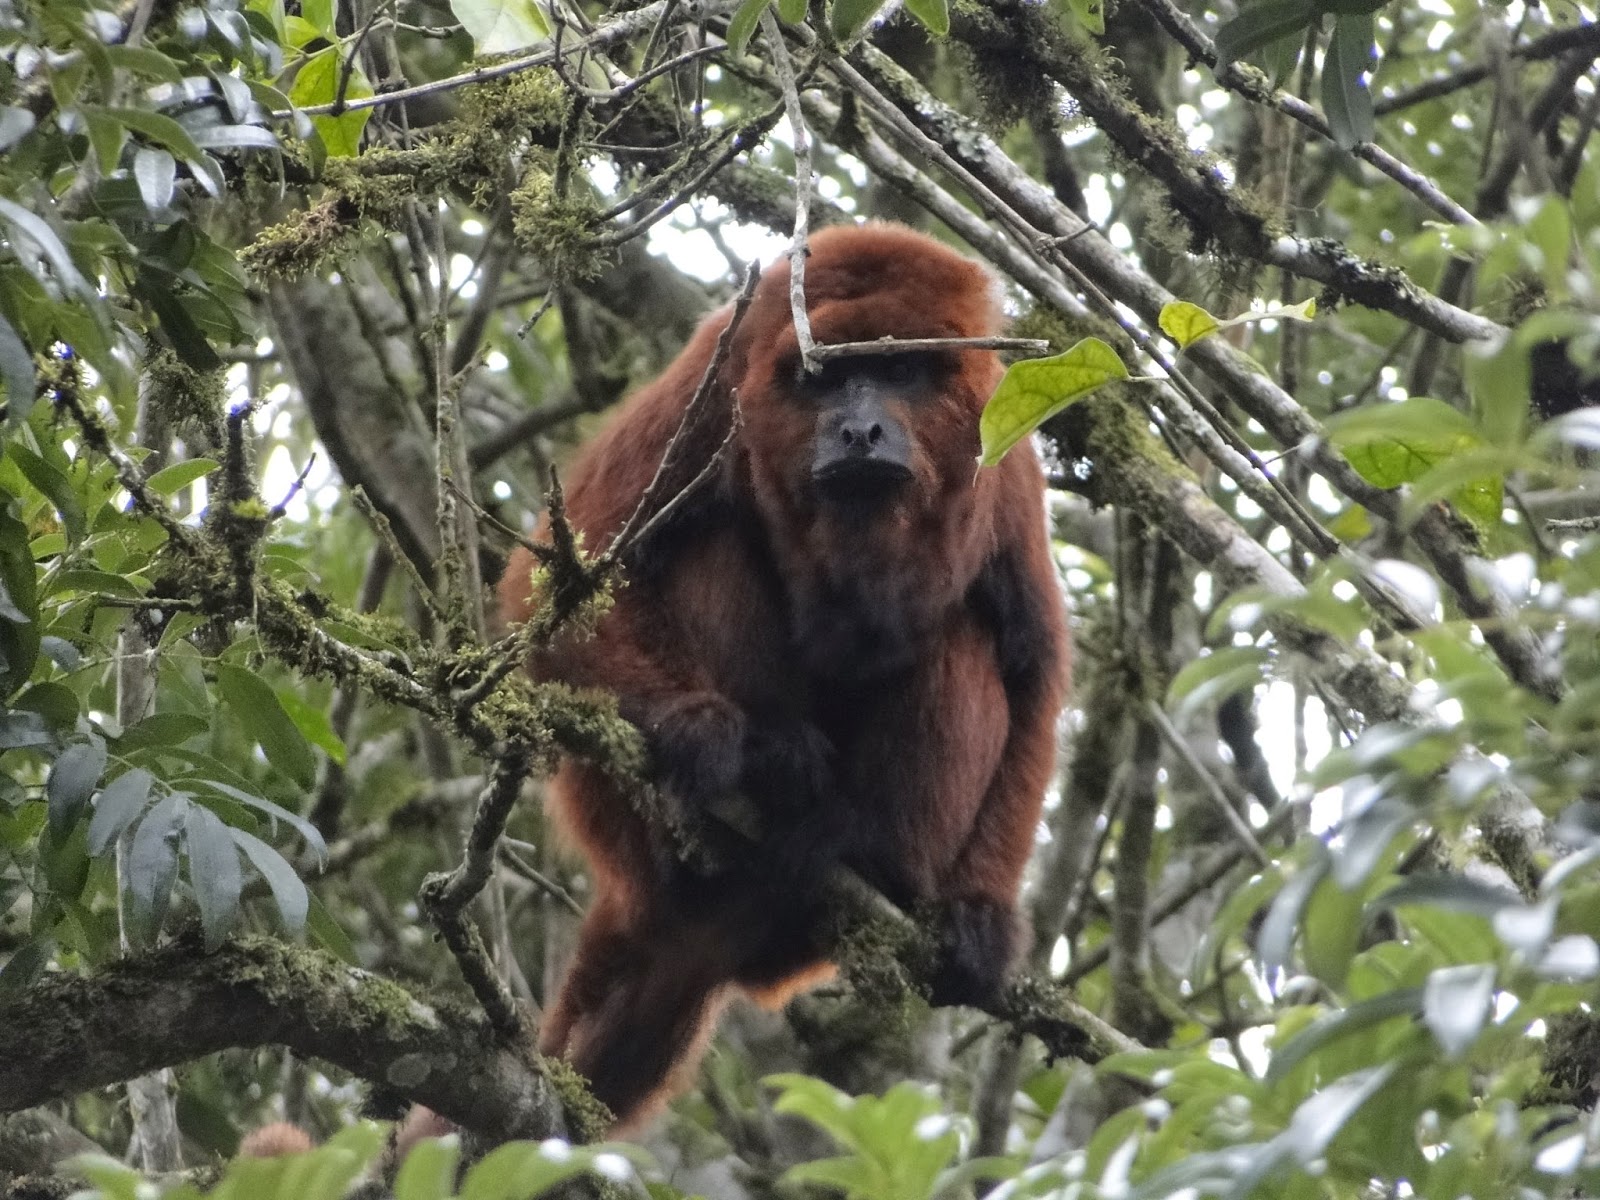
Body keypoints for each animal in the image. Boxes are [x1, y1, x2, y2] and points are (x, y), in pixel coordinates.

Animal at [499, 222, 1070, 1131]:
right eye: (824, 376)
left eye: (900, 370)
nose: (860, 430)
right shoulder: (712, 383)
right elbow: (553, 589)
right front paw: (694, 729)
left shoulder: (1006, 460)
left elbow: (1031, 670)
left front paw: (980, 912)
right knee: (715, 543)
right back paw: (759, 771)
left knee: (965, 636)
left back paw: (874, 855)